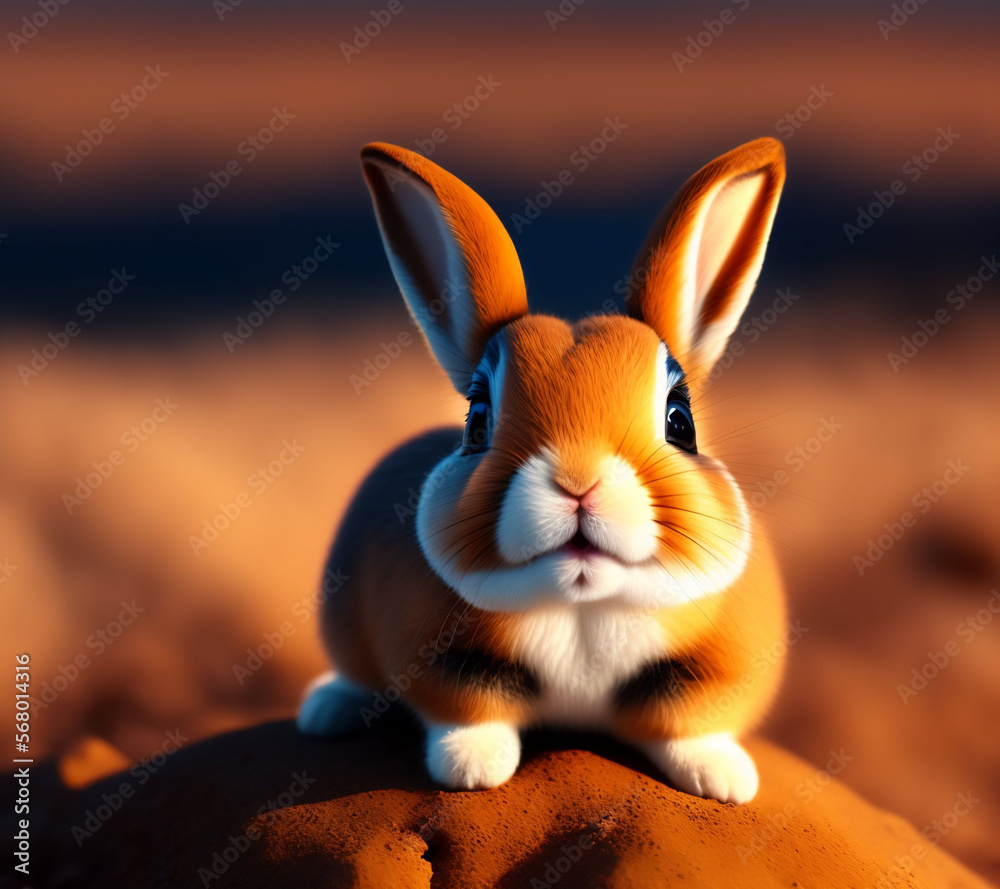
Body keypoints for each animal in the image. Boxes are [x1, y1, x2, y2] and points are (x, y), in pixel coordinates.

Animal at [298, 137, 788, 804]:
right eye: (478, 418)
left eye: (680, 421)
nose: (578, 485)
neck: (583, 605)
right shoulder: (439, 662)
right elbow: (468, 708)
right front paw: (474, 767)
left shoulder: (720, 668)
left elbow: (686, 716)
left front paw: (724, 778)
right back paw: (325, 710)